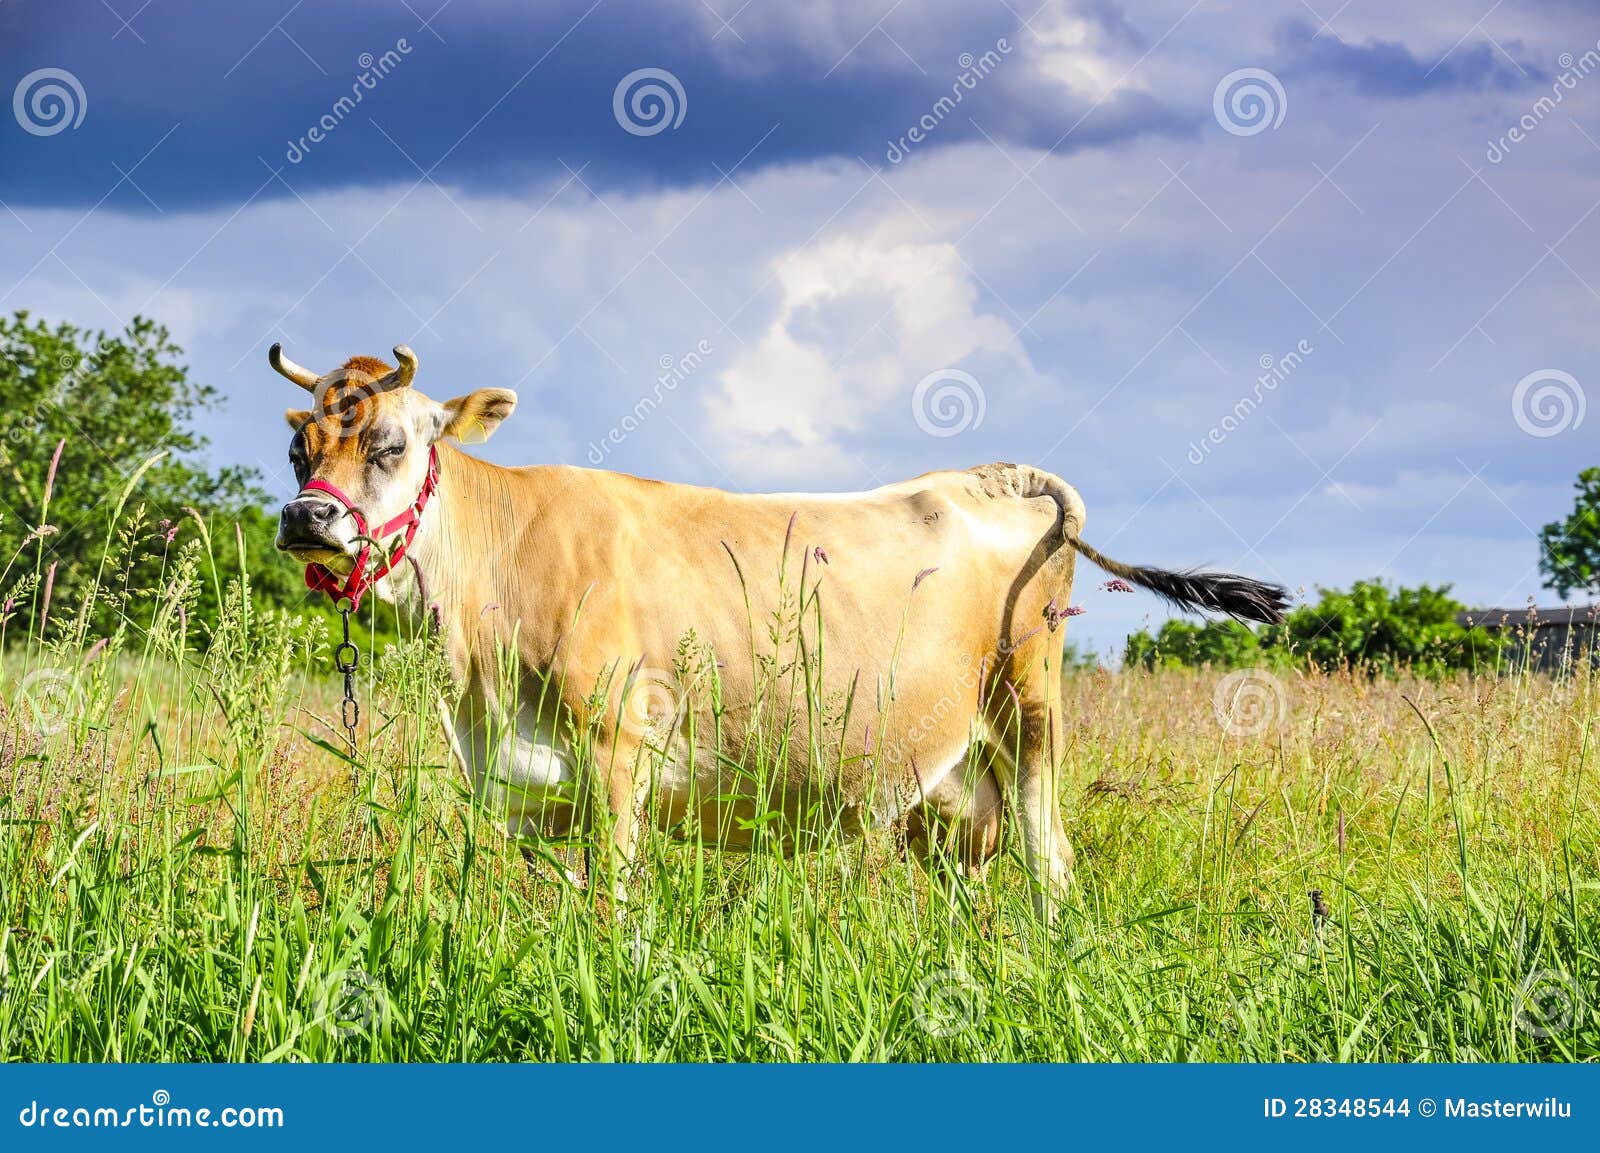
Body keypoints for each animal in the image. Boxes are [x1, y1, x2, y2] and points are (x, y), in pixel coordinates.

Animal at [271, 343, 1288, 921]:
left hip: (1032, 715)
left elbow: (619, 903)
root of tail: (989, 472)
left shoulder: (618, 749)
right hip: (950, 777)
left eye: (392, 444)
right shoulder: (525, 784)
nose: (306, 518)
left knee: (1052, 863)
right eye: (298, 448)